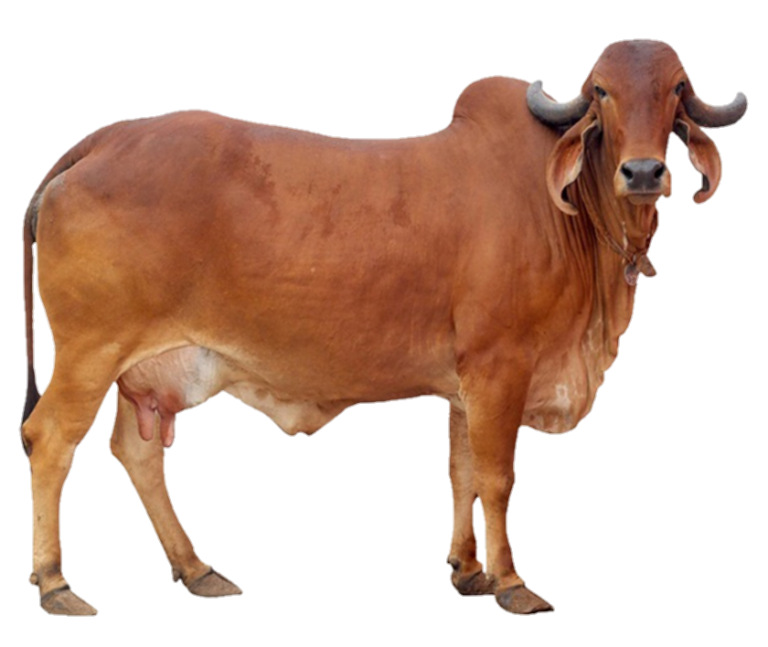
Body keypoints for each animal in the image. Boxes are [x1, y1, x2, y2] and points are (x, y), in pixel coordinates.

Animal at [21, 38, 747, 617]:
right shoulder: (502, 366)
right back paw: (56, 583)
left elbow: (460, 469)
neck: (573, 216)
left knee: (137, 452)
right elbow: (497, 475)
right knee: (50, 440)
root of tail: (104, 140)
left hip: (144, 370)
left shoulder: (464, 384)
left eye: (677, 90)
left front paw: (469, 570)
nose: (645, 172)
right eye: (601, 93)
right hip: (88, 353)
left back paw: (196, 568)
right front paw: (512, 581)